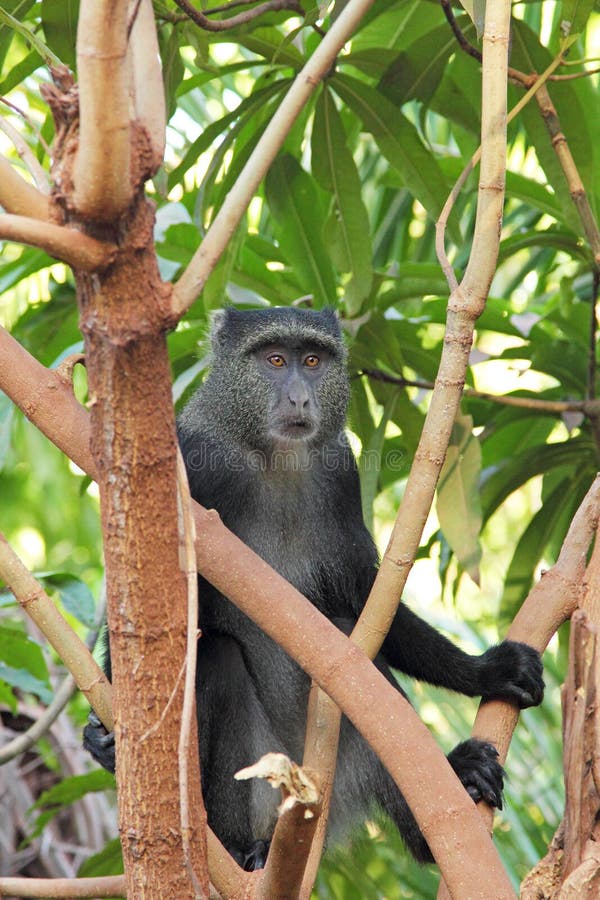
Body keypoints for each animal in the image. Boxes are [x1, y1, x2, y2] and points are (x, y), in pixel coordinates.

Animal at [84, 305, 544, 871]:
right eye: (274, 360)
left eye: (312, 360)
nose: (301, 398)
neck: (273, 459)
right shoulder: (192, 468)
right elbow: (146, 610)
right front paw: (107, 745)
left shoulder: (341, 475)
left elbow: (361, 598)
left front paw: (490, 671)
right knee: (216, 657)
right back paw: (236, 846)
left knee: (351, 644)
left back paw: (441, 807)